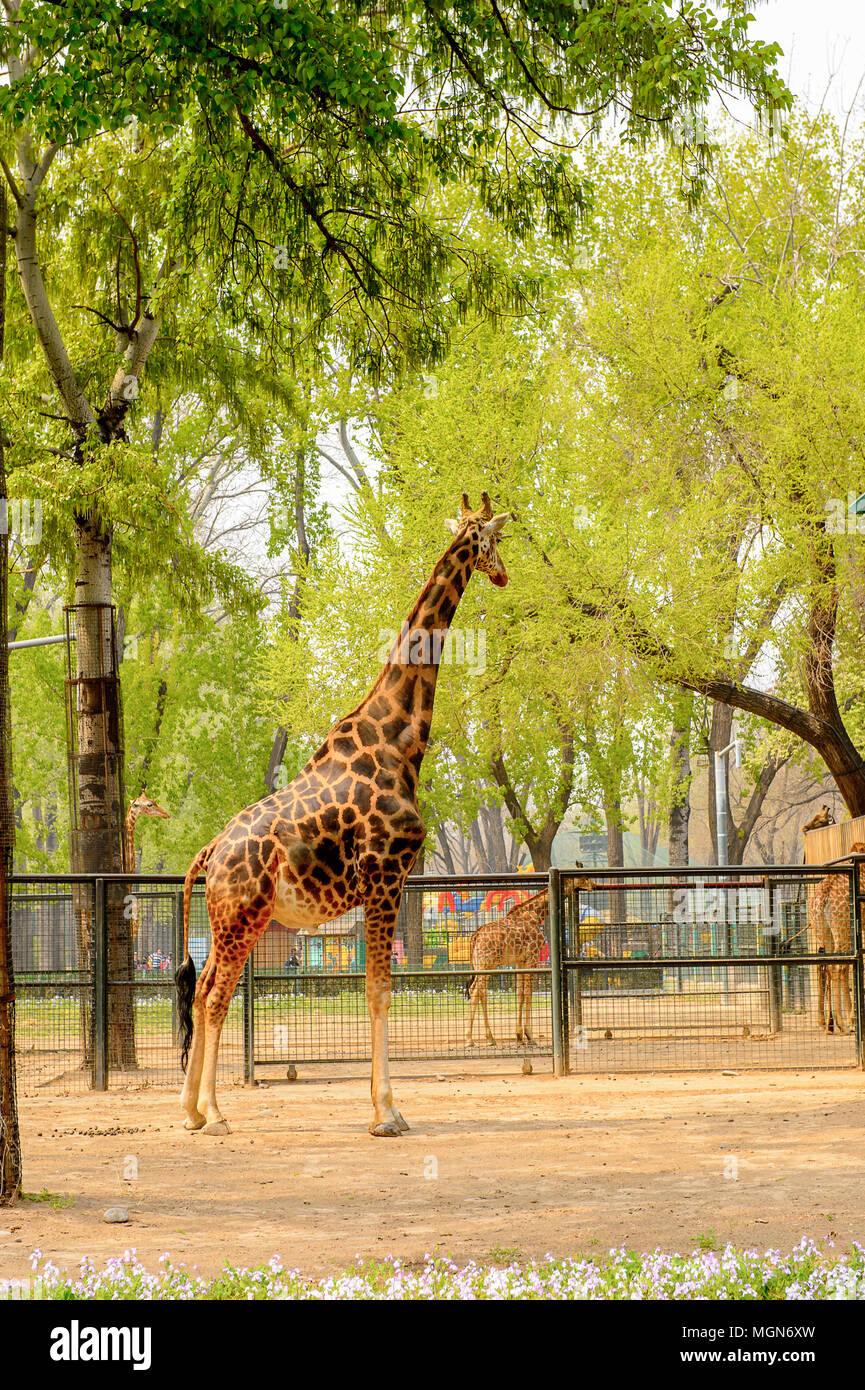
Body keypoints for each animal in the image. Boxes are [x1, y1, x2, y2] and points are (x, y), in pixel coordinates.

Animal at [175, 492, 509, 1137]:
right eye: (494, 540)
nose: (504, 574)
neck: (400, 740)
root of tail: (211, 851)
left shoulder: (387, 886)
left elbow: (374, 989)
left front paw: (385, 1108)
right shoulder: (387, 880)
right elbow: (380, 991)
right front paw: (388, 1113)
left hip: (231, 919)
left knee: (202, 991)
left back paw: (193, 1112)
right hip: (242, 916)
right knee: (215, 996)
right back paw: (216, 1114)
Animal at [465, 866, 596, 1046]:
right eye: (585, 876)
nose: (594, 885)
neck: (537, 913)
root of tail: (475, 936)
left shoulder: (520, 961)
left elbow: (519, 992)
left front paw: (519, 1036)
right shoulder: (533, 956)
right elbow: (528, 991)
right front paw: (529, 1035)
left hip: (481, 965)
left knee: (479, 991)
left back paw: (488, 1038)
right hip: (487, 964)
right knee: (476, 991)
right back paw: (472, 1039)